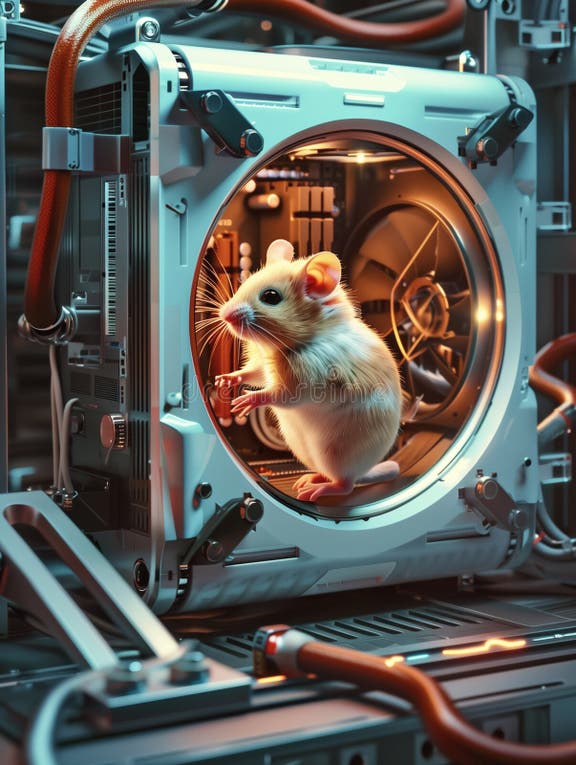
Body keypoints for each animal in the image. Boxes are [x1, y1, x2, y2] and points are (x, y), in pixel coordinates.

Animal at [214, 238, 402, 502]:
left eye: (270, 296)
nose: (223, 315)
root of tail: (363, 472)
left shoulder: (304, 381)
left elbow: (277, 395)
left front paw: (247, 400)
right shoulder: (262, 365)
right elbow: (254, 374)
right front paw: (226, 379)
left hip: (335, 453)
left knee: (346, 485)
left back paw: (318, 489)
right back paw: (310, 478)